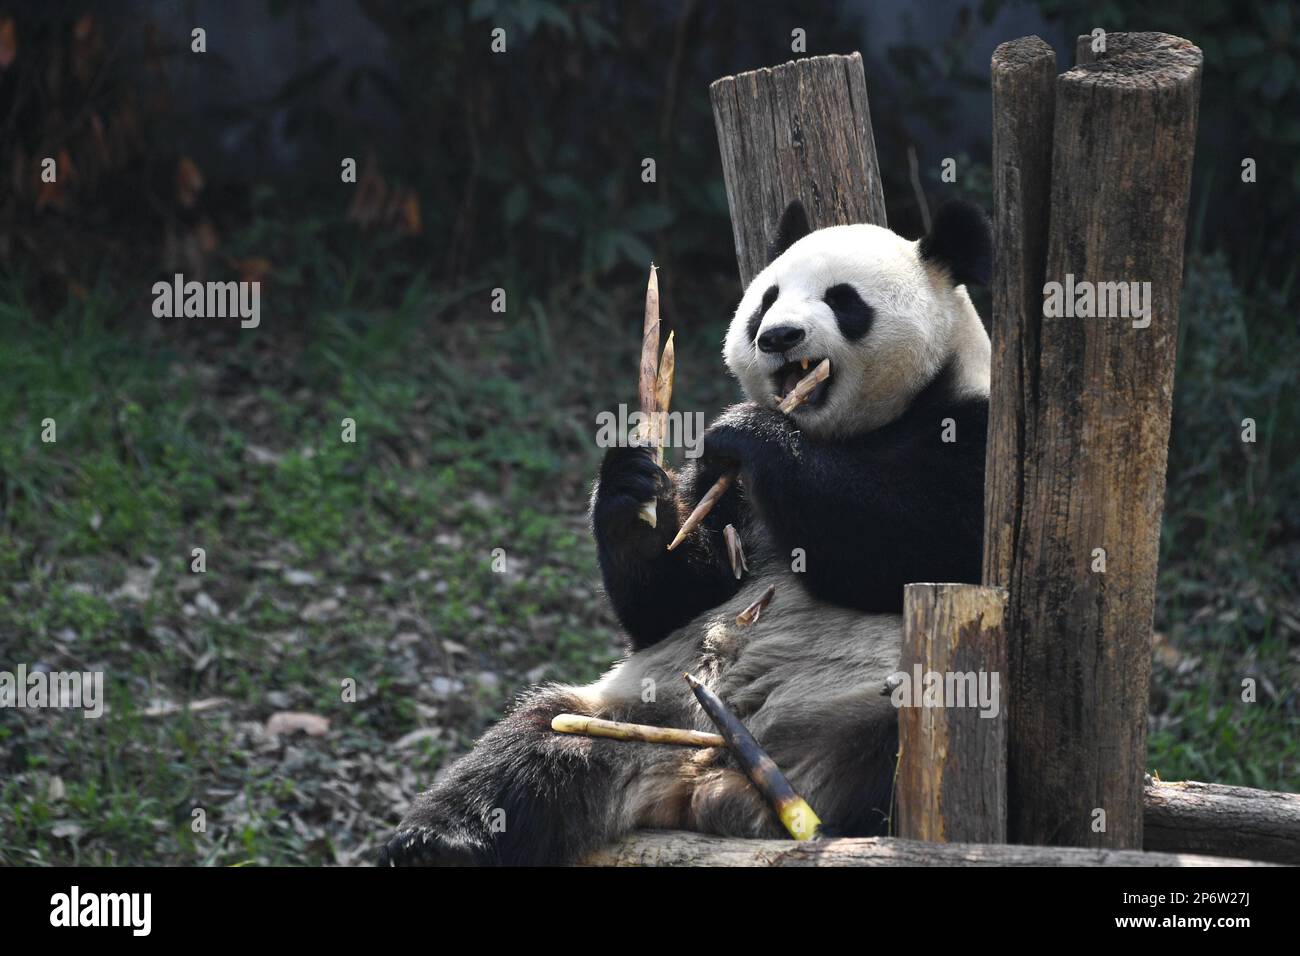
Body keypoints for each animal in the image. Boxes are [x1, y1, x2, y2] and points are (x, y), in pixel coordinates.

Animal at [381, 198, 993, 866]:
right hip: (638, 716)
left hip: (856, 718)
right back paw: (438, 840)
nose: (777, 336)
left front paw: (755, 432)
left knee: (887, 758)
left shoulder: (972, 433)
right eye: (767, 299)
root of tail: (704, 784)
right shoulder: (719, 495)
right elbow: (676, 598)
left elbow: (916, 542)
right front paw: (633, 493)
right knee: (529, 749)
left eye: (843, 300)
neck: (843, 432)